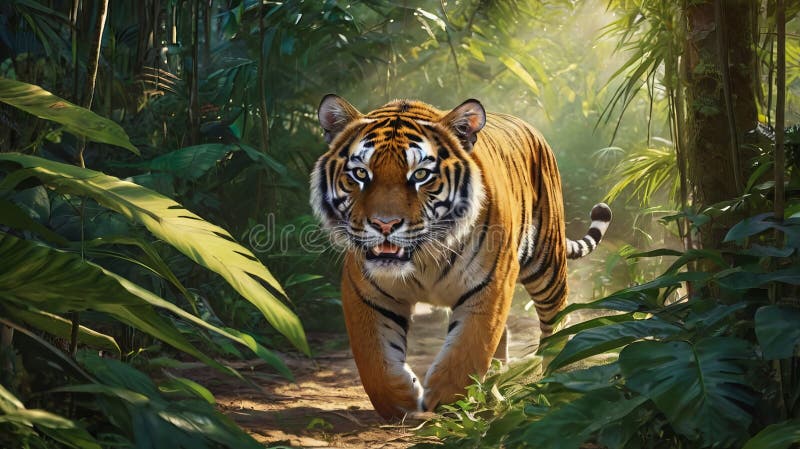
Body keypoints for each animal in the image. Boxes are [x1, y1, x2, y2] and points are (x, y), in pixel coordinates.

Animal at [310, 94, 611, 420]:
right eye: (360, 174)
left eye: (420, 175)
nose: (384, 225)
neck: (423, 257)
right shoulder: (366, 292)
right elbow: (374, 362)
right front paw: (401, 401)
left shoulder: (490, 285)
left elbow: (468, 350)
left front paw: (447, 402)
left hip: (547, 266)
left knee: (555, 325)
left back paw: (553, 379)